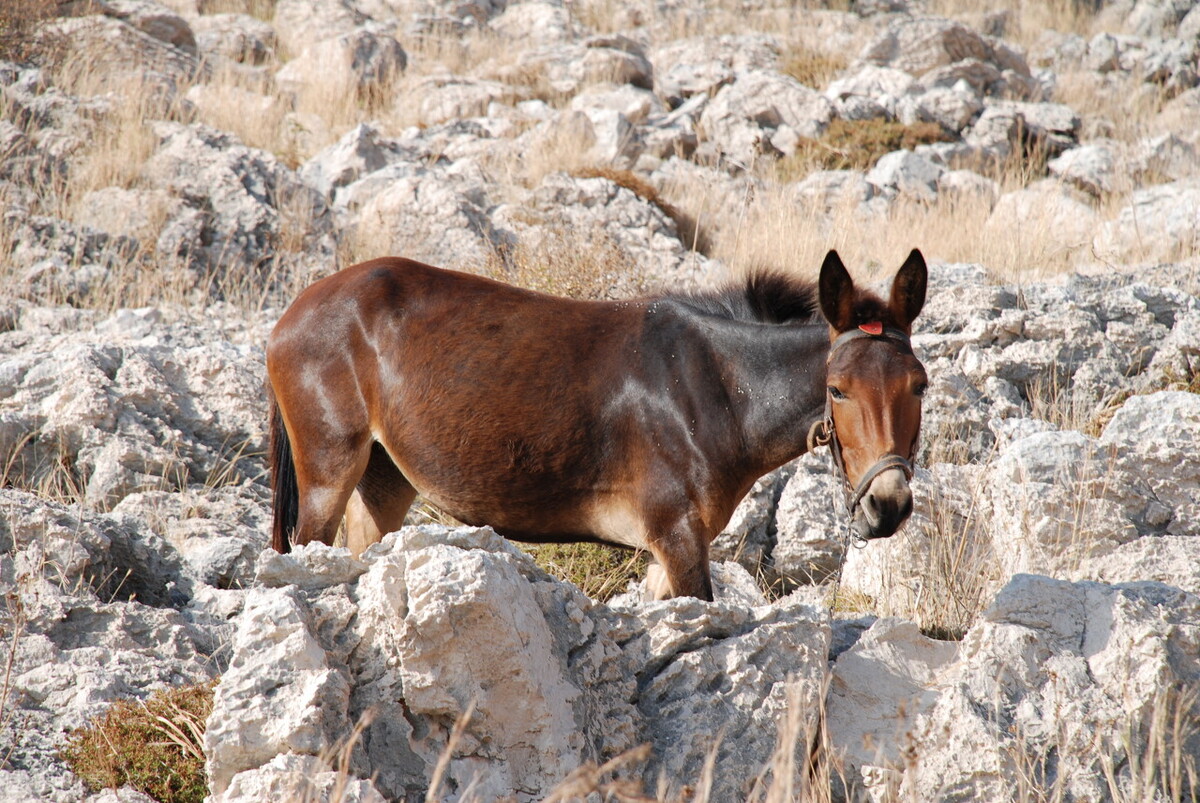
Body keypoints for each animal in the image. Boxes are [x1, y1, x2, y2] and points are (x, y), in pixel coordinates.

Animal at [266, 249, 928, 601]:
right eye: (837, 390)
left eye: (920, 386)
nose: (889, 507)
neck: (719, 390)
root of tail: (294, 309)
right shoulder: (677, 536)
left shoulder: (669, 550)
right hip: (328, 469)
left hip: (385, 476)